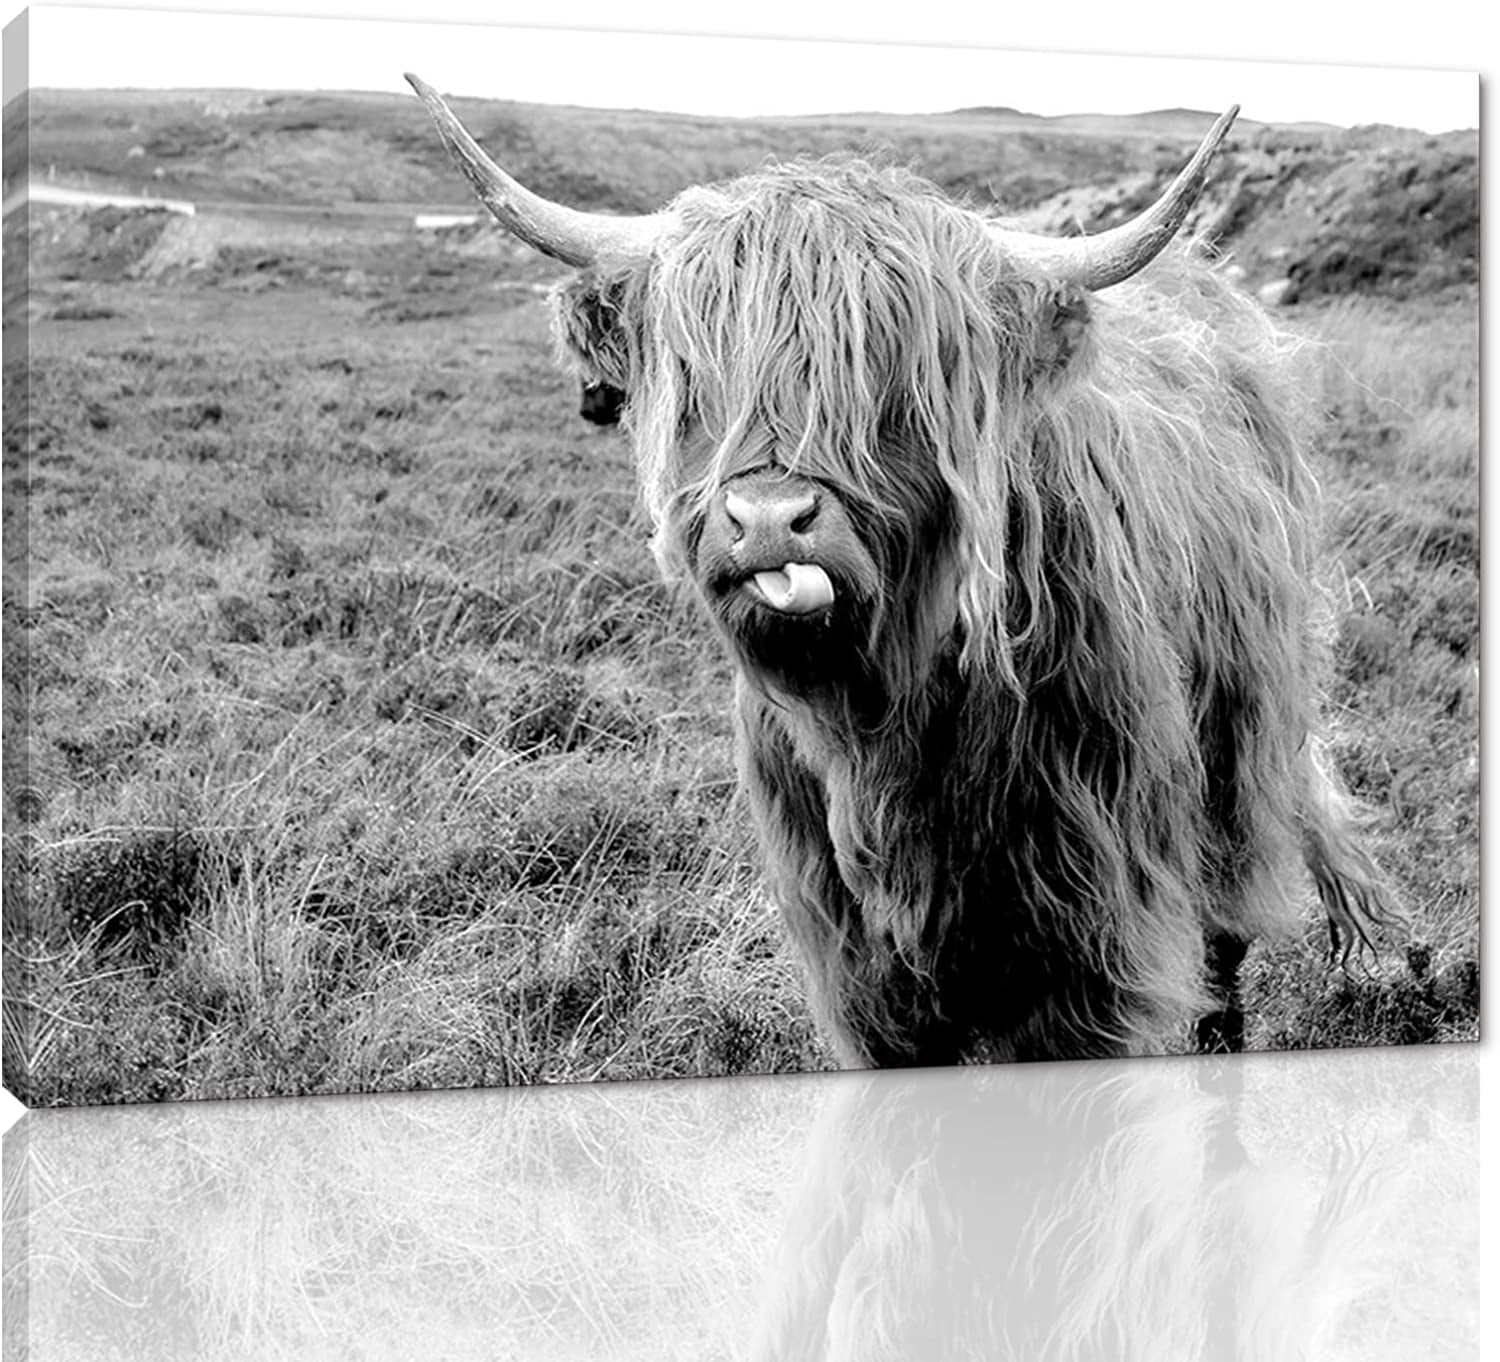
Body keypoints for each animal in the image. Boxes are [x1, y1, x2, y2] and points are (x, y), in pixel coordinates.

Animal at [407, 75, 1400, 1065]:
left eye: (894, 387)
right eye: (698, 382)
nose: (768, 522)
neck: (882, 728)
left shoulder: (1090, 948)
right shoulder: (855, 967)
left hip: (1240, 743)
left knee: (1229, 925)